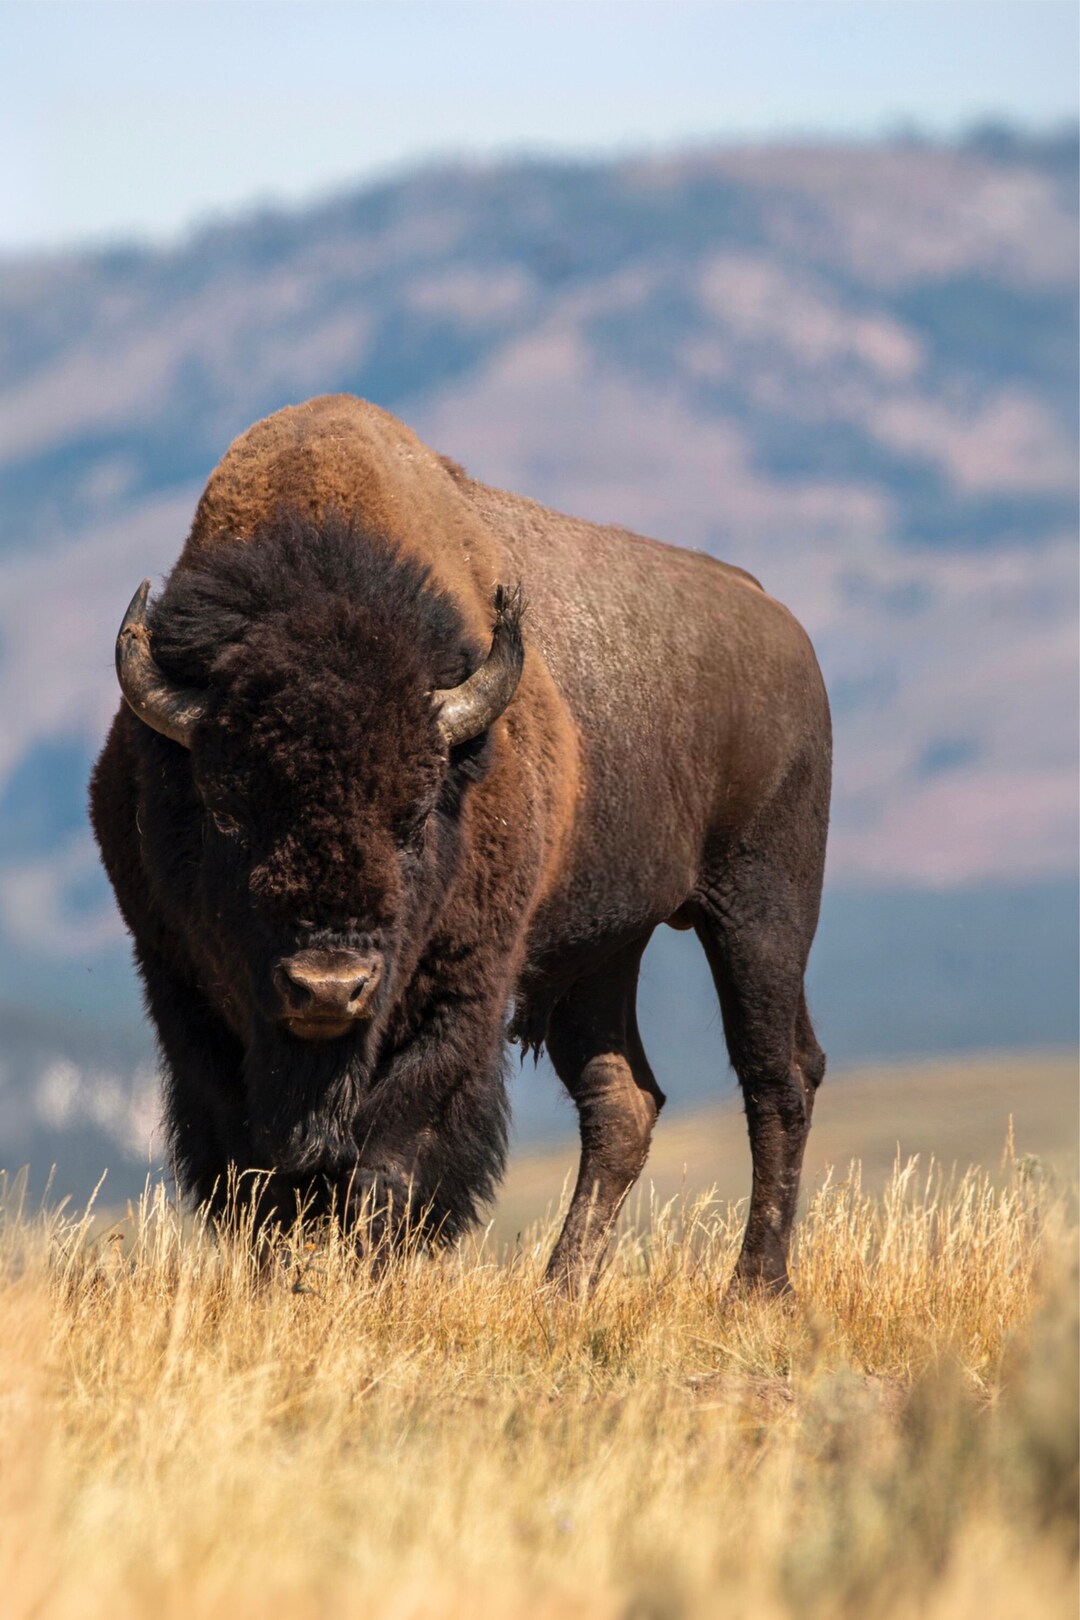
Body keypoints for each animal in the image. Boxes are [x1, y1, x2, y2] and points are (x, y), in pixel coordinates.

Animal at [91, 394, 831, 1295]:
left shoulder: (460, 990)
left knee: (776, 1077)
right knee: (623, 1101)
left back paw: (752, 1288)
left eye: (412, 815)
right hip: (600, 953)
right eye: (226, 813)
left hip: (760, 912)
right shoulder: (183, 989)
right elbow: (252, 1172)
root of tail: (778, 621)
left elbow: (392, 1156)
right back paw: (562, 1290)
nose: (329, 987)